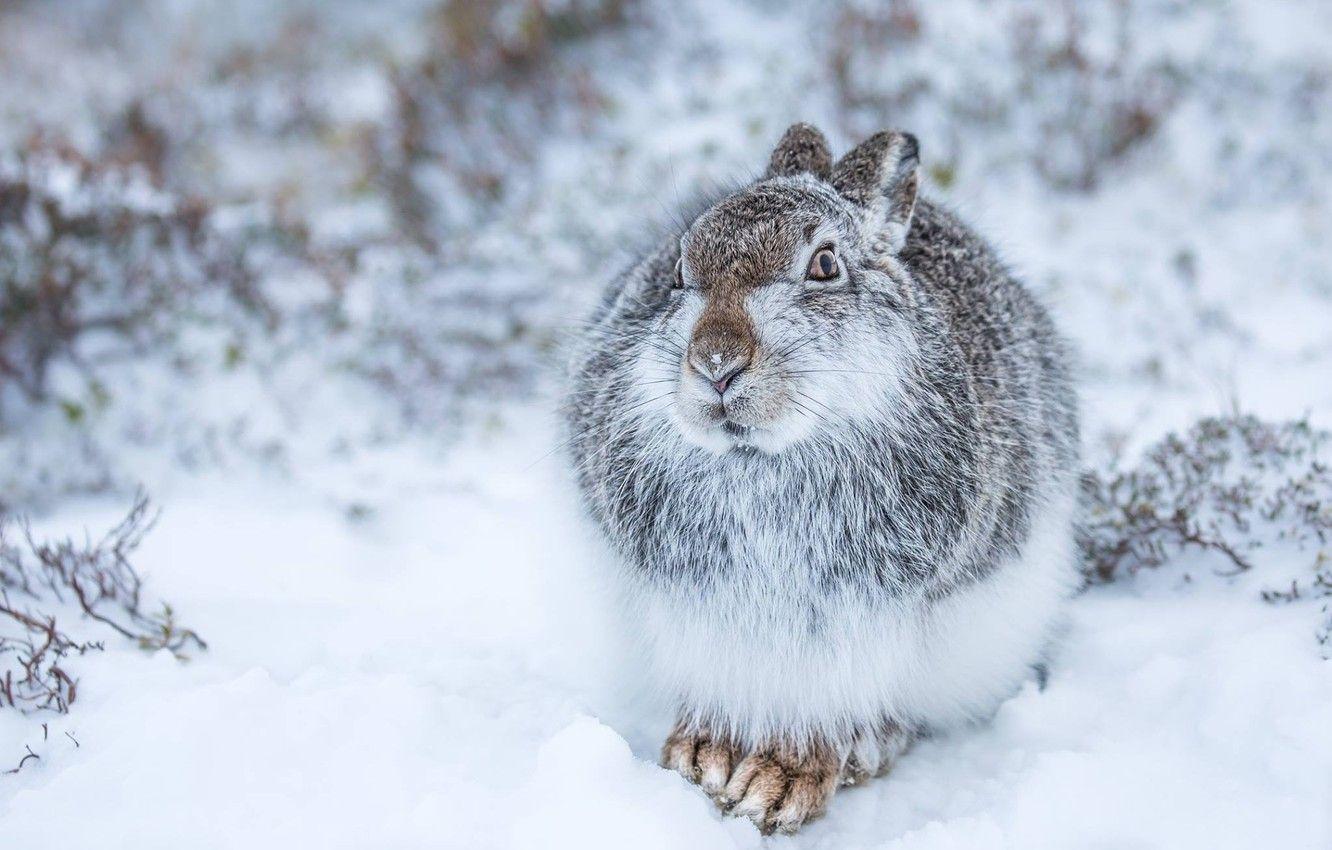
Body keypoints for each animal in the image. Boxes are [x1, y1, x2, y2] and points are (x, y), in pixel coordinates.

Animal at [562, 123, 1080, 834]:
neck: (760, 455)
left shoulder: (851, 630)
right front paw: (705, 756)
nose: (716, 363)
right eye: (678, 273)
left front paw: (777, 783)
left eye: (826, 265)